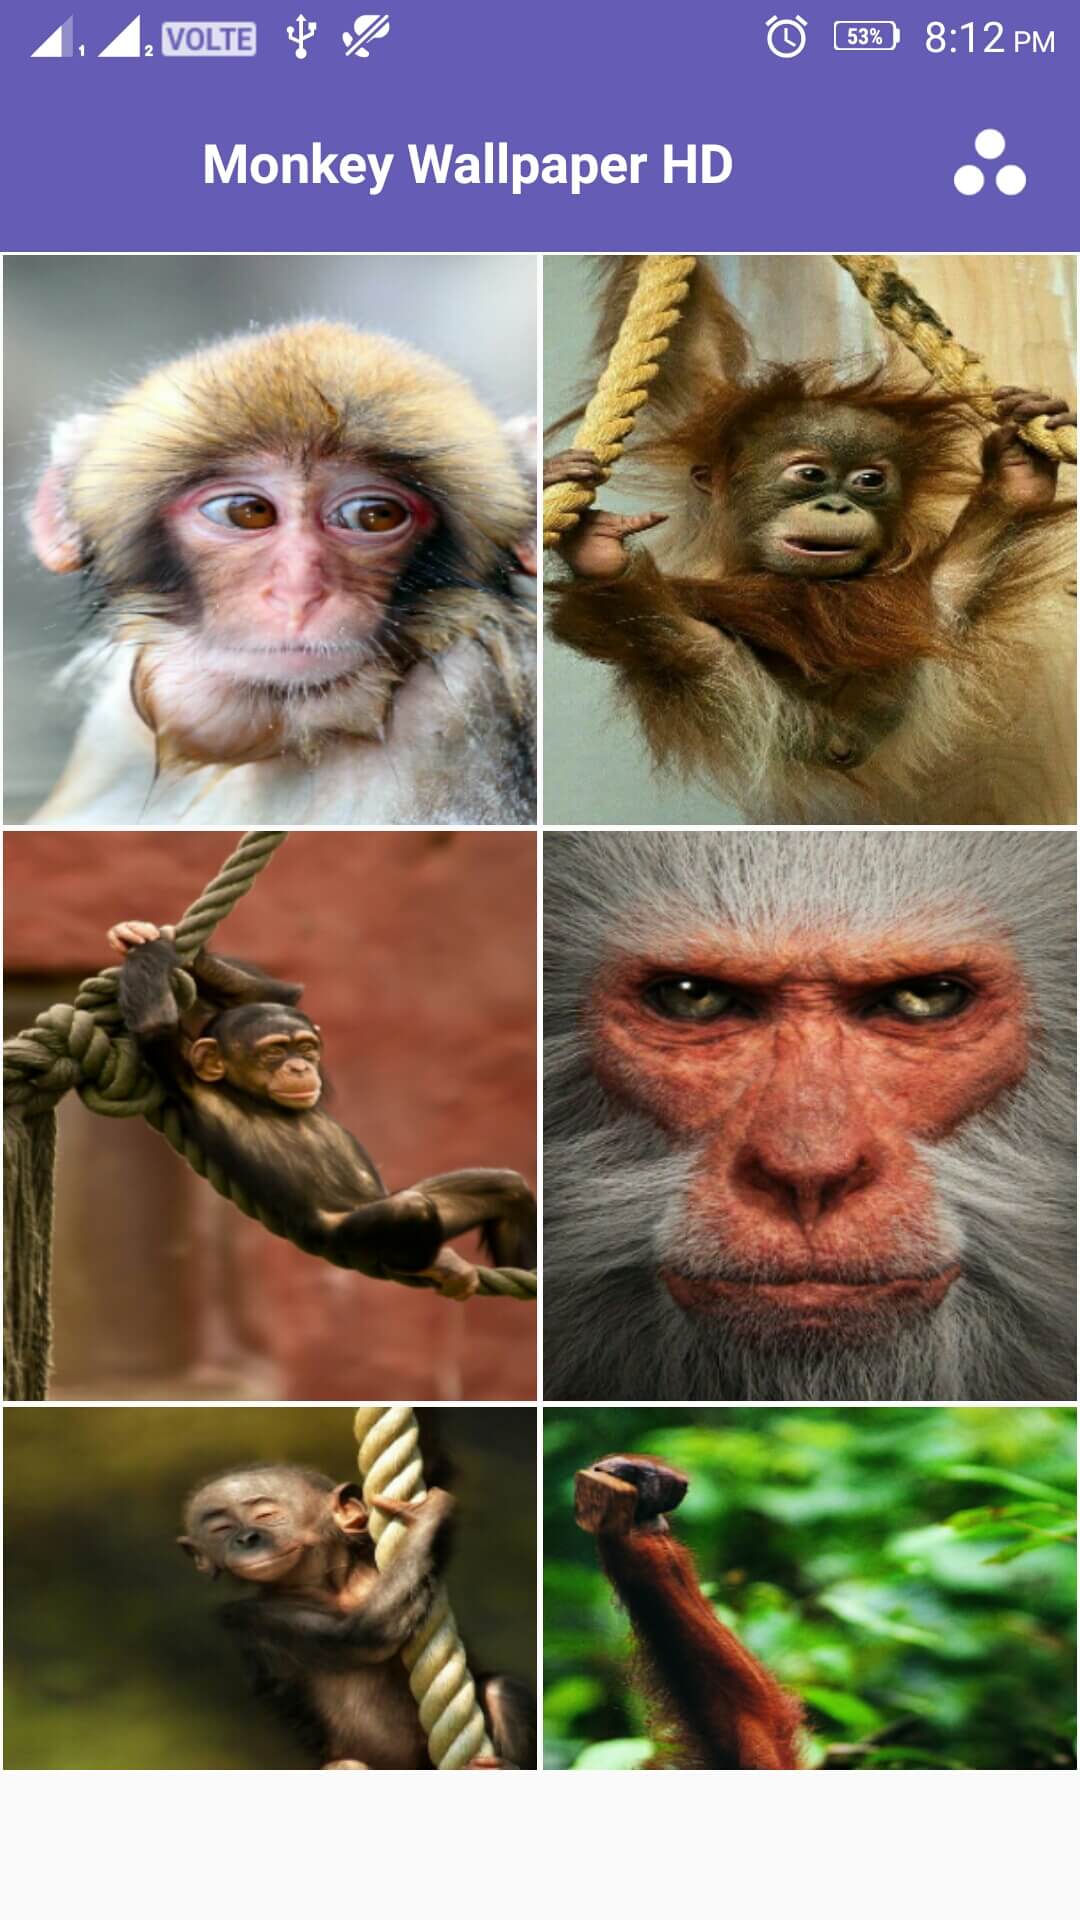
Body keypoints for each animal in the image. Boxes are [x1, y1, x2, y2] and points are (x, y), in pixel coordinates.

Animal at [111, 920, 536, 1301]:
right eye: (274, 1052)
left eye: (306, 1047)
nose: (299, 1067)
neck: (253, 1096)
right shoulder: (183, 1075)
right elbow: (156, 1026)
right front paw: (145, 948)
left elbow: (281, 996)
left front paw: (165, 943)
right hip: (343, 1237)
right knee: (410, 1210)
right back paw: (437, 1263)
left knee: (505, 1187)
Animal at [180, 1464, 536, 1769]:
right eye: (221, 1529)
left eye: (267, 1516)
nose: (246, 1538)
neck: (332, 1586)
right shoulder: (252, 1617)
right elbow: (362, 1634)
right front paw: (426, 1519)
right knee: (346, 1767)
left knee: (501, 1690)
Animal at [545, 258, 1076, 823]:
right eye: (811, 475)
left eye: (869, 481)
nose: (837, 506)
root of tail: (835, 740)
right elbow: (688, 347)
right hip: (757, 706)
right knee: (682, 641)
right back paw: (605, 561)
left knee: (951, 583)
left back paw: (1017, 483)